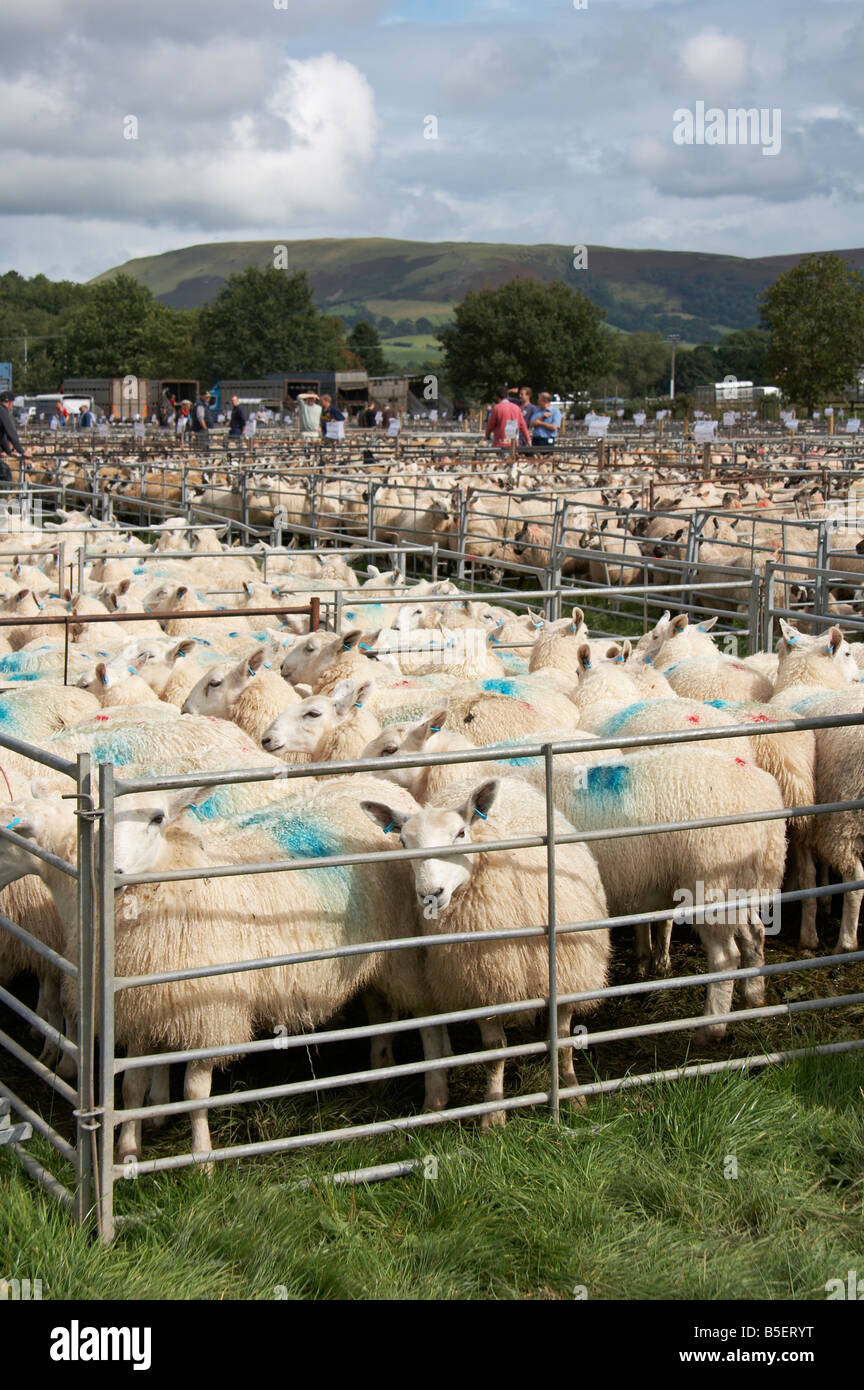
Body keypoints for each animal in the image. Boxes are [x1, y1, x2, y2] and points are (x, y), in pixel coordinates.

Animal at [361, 776, 611, 1123]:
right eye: (403, 843)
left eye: (460, 834)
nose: (430, 894)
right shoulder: (484, 982)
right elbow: (494, 1052)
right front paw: (493, 1114)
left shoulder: (568, 973)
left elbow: (563, 1043)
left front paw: (573, 1097)